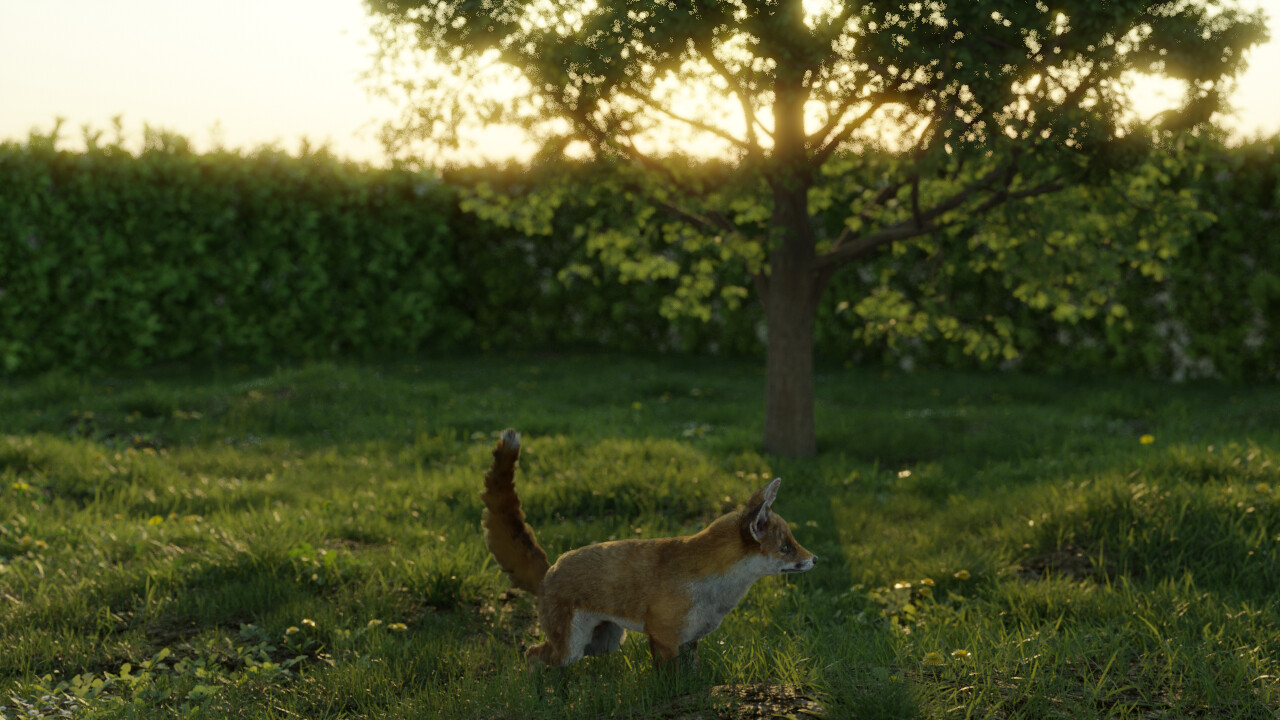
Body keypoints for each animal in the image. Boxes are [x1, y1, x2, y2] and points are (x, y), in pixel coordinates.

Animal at [479, 428, 816, 667]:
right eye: (786, 548)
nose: (814, 559)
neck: (714, 589)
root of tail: (550, 570)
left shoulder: (690, 641)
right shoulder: (664, 638)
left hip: (603, 643)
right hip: (572, 648)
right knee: (533, 657)